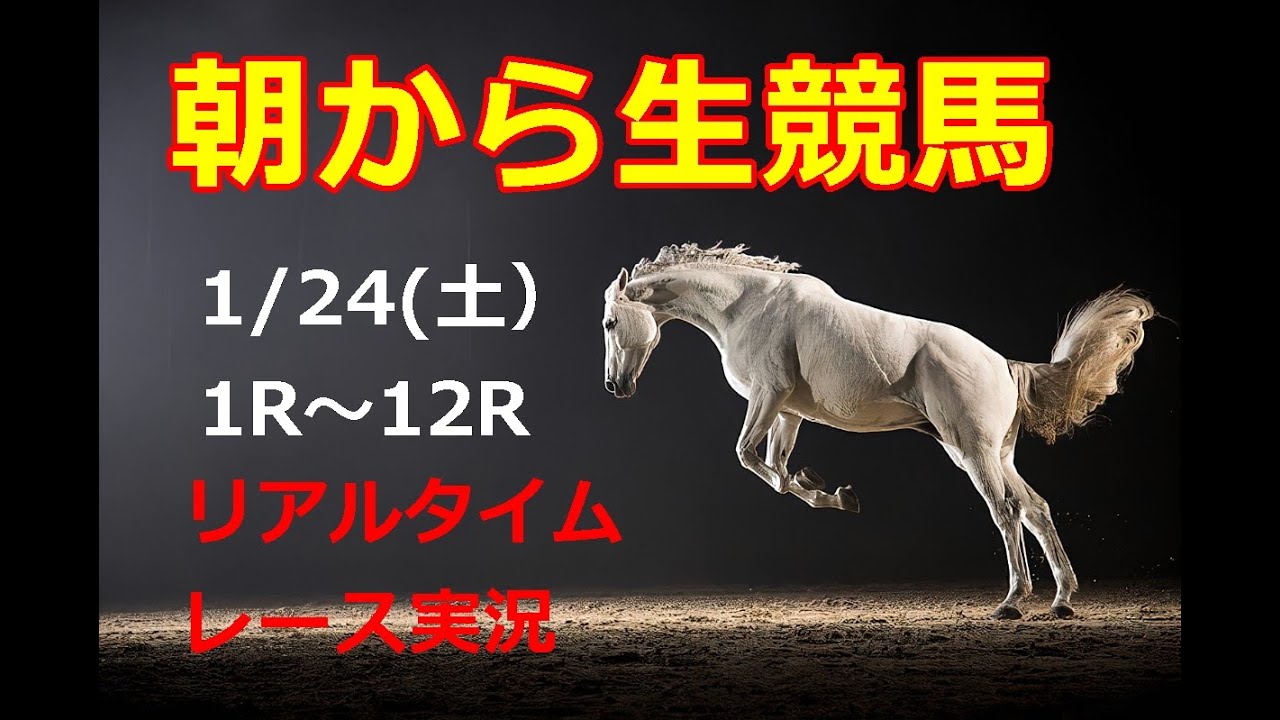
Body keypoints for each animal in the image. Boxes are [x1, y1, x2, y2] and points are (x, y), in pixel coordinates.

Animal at [601, 243, 1155, 620]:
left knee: (1007, 510)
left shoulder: (768, 396)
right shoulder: (788, 412)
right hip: (990, 454)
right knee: (1036, 508)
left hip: (974, 452)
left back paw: (1013, 602)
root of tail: (1004, 364)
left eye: (609, 323)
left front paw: (826, 489)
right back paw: (1062, 599)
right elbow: (776, 470)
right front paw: (832, 492)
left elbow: (748, 457)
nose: (614, 386)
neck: (749, 306)